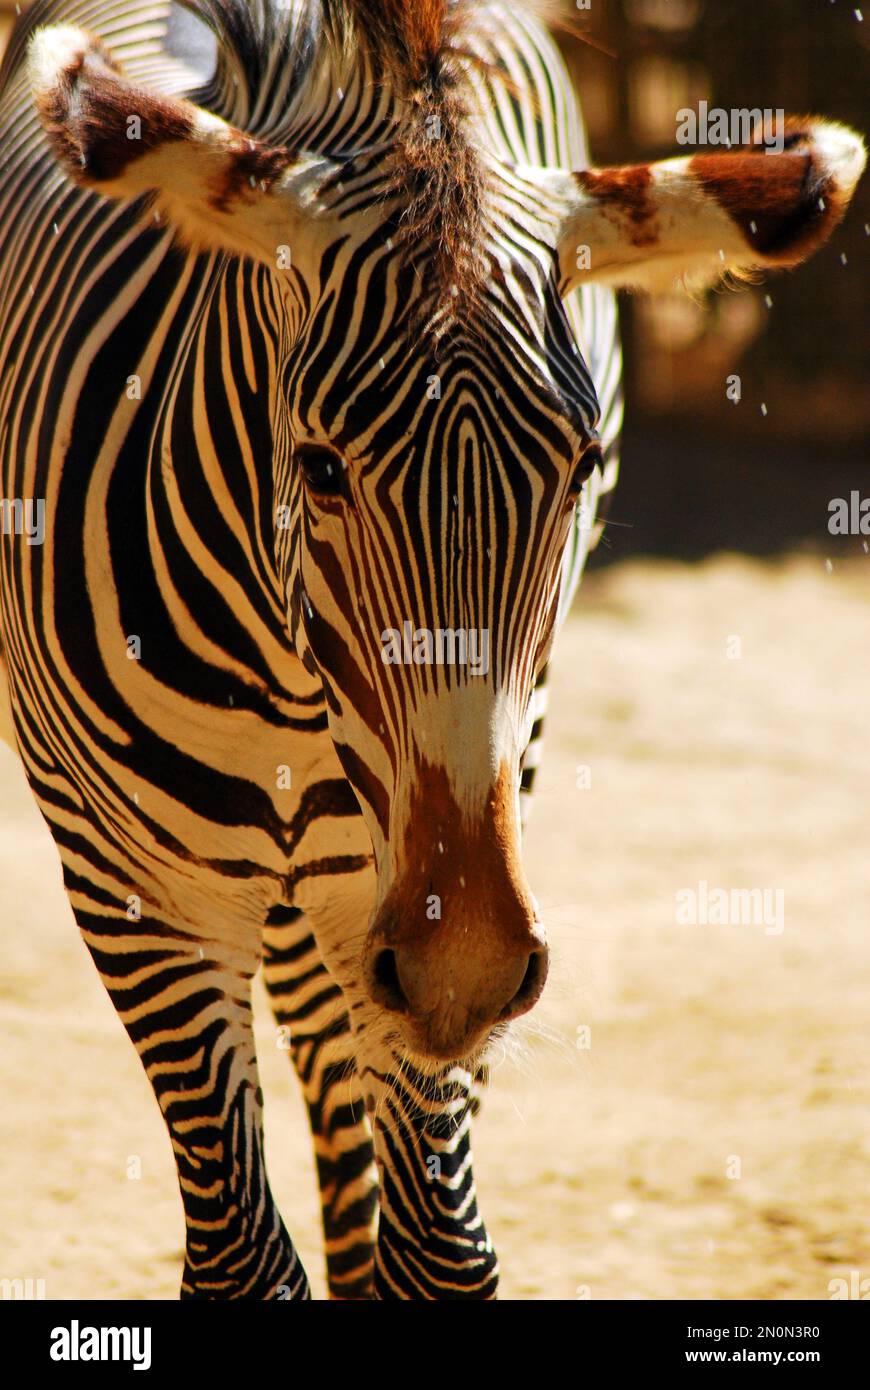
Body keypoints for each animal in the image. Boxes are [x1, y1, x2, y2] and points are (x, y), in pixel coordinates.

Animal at [0, 0, 863, 1300]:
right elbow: (243, 1258)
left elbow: (440, 1250)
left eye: (581, 467)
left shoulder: (421, 872)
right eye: (316, 465)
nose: (464, 967)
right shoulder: (137, 889)